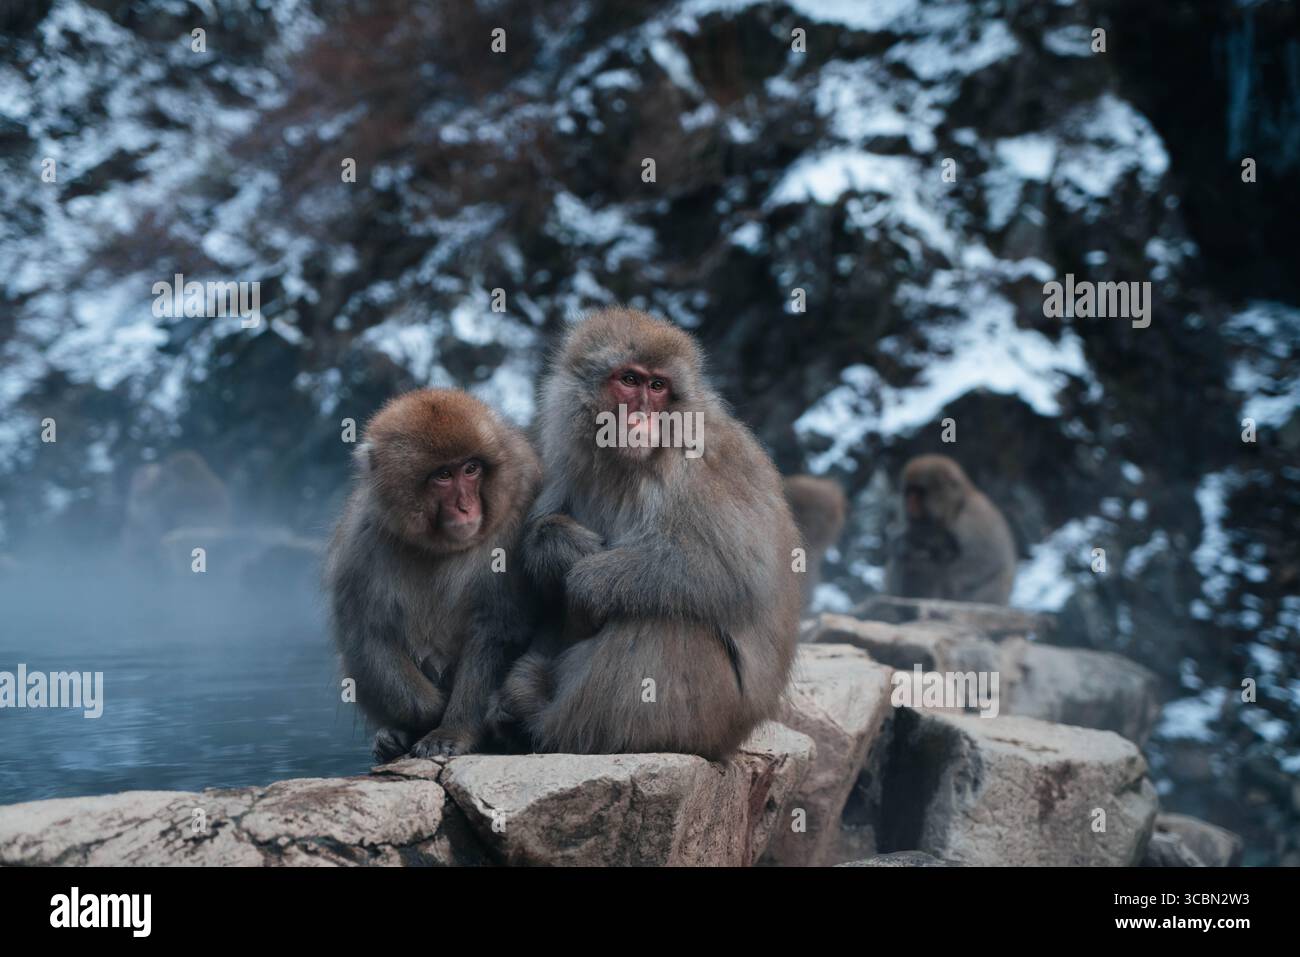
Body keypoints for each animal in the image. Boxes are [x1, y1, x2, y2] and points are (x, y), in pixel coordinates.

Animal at [325, 388, 541, 762]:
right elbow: (367, 632)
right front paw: (423, 715)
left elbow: (497, 629)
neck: (440, 547)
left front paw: (451, 730)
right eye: (443, 476)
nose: (466, 507)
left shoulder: (515, 520)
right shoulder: (362, 538)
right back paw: (391, 735)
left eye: (470, 469)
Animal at [496, 307, 802, 761]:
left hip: (709, 714)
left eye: (658, 386)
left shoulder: (701, 462)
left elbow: (734, 574)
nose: (643, 417)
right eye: (629, 380)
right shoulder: (567, 455)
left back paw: (546, 719)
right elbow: (541, 529)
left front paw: (586, 582)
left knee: (663, 623)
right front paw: (559, 548)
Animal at [886, 454, 1017, 605]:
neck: (953, 510)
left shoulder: (976, 518)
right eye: (909, 492)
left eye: (918, 492)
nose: (909, 503)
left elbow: (985, 560)